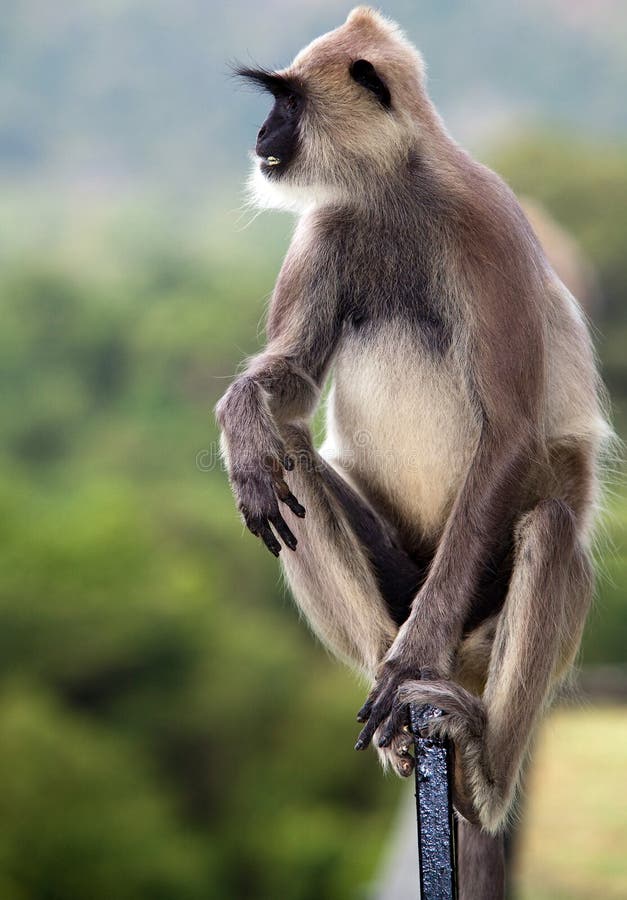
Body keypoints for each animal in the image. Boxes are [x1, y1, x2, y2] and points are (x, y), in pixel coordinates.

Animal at [216, 8, 611, 897]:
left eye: (285, 103)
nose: (261, 136)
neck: (396, 189)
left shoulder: (486, 223)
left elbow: (509, 430)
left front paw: (414, 657)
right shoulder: (328, 226)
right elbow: (286, 397)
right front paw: (240, 418)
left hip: (476, 594)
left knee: (549, 521)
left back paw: (479, 767)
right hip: (400, 573)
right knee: (288, 459)